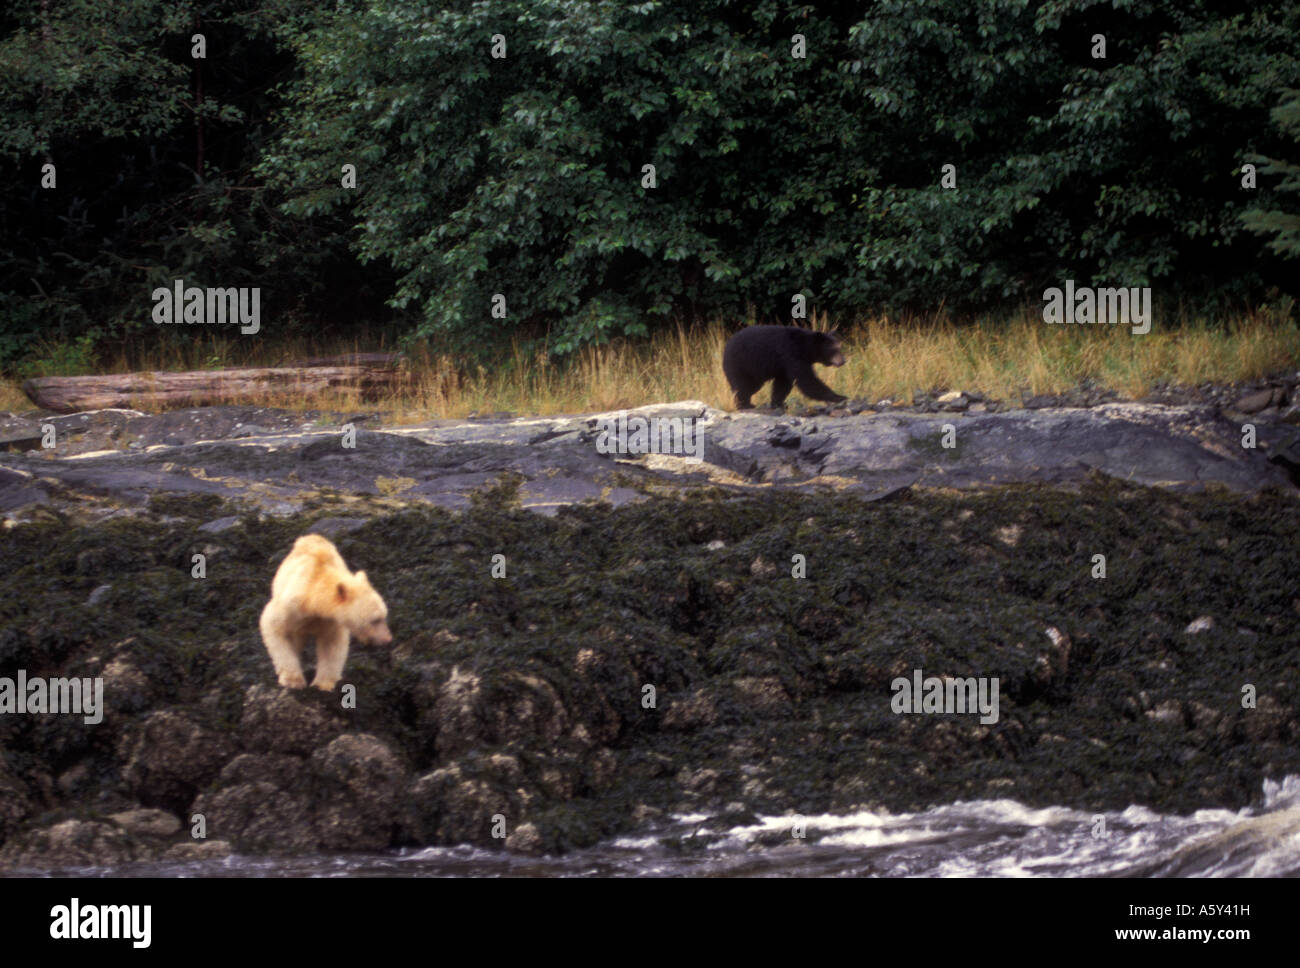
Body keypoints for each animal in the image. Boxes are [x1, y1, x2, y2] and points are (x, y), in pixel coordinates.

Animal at [259, 534, 392, 692]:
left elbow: (331, 645)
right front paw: (293, 681)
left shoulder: (331, 620)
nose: (388, 639)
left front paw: (322, 684)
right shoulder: (292, 606)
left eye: (384, 616)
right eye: (375, 620)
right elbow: (274, 626)